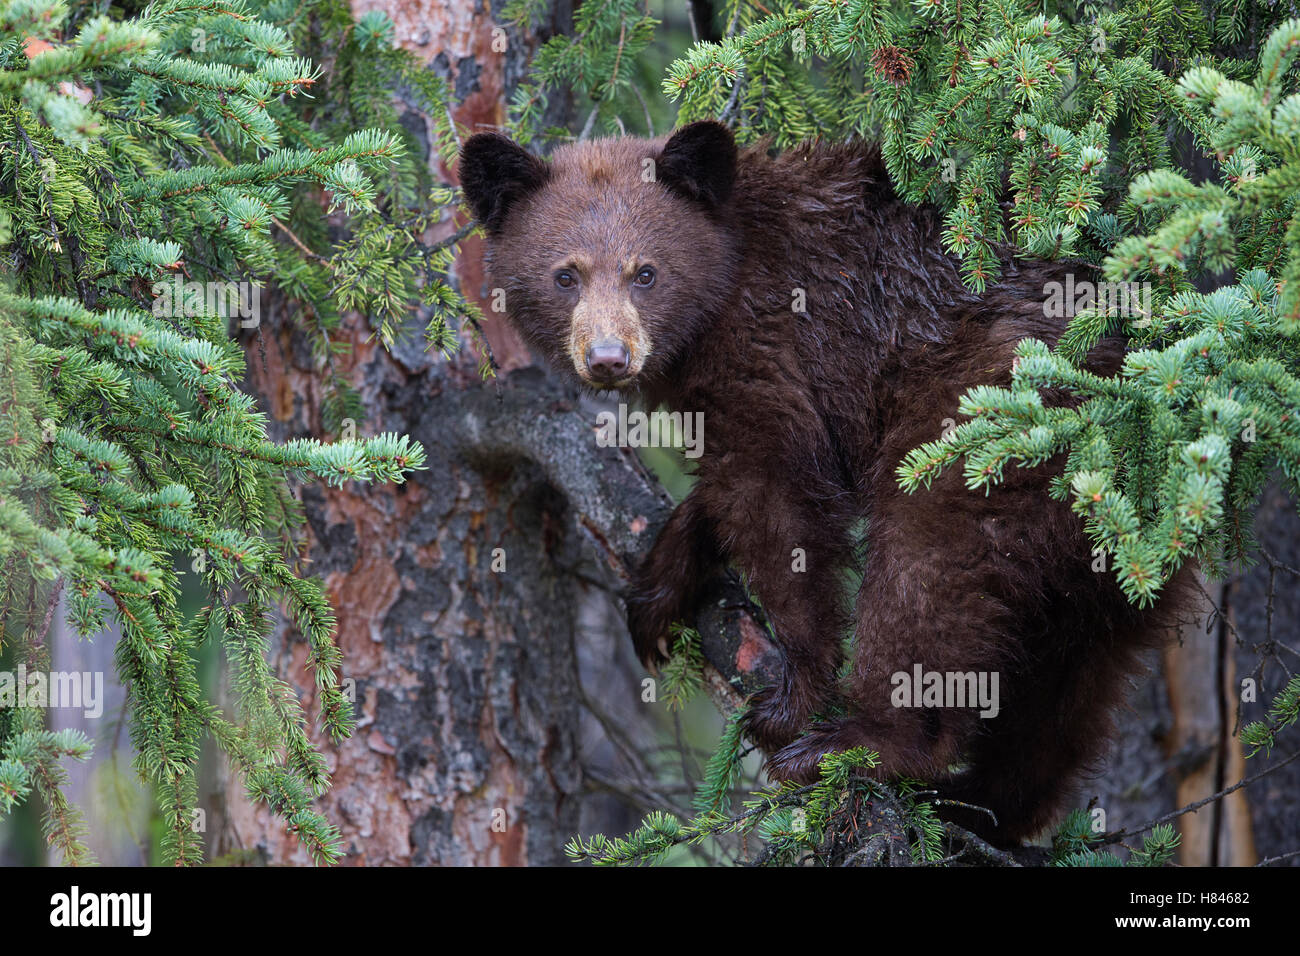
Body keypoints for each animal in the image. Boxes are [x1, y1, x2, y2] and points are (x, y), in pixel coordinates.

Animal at [458, 120, 1185, 845]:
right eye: (565, 275)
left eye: (645, 273)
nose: (609, 358)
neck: (727, 277)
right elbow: (730, 491)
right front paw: (664, 576)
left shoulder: (769, 349)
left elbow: (780, 501)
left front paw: (795, 691)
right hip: (1108, 559)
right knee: (1071, 681)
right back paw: (982, 806)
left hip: (987, 421)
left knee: (926, 573)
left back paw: (865, 745)